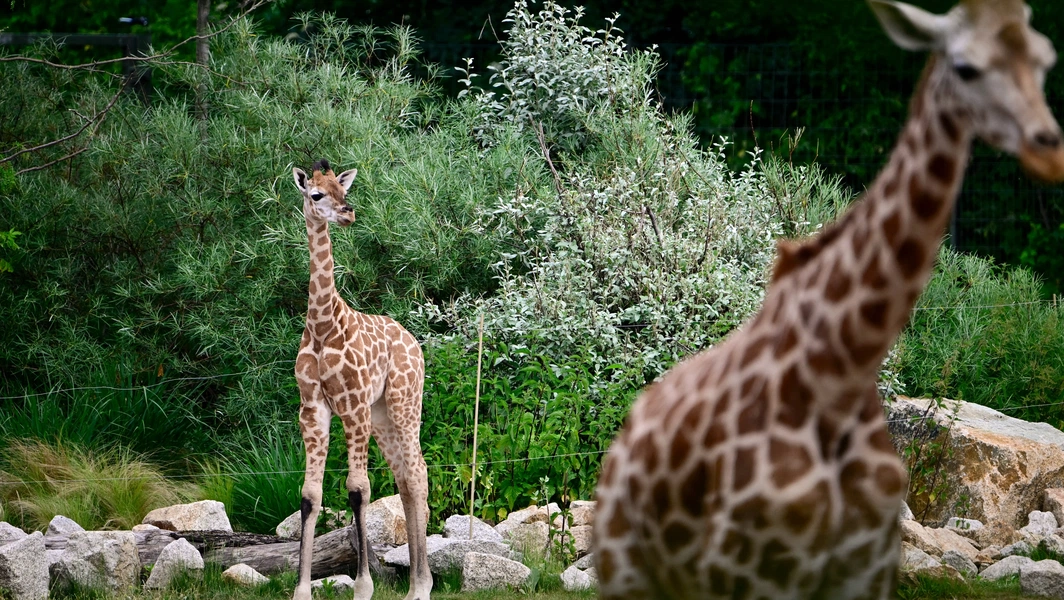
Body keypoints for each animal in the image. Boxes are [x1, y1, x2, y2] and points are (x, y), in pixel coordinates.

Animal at [291, 159, 433, 600]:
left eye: (343, 189)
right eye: (316, 194)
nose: (349, 213)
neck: (322, 326)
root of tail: (415, 343)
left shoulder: (352, 405)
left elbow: (358, 488)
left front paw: (363, 586)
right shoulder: (312, 409)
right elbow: (310, 495)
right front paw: (301, 590)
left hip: (405, 402)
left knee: (418, 475)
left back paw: (421, 586)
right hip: (383, 414)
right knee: (407, 478)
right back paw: (418, 584)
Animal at [592, 1, 1064, 598]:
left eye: (1045, 59)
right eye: (966, 67)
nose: (1048, 150)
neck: (834, 379)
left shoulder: (864, 569)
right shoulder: (752, 571)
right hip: (629, 565)